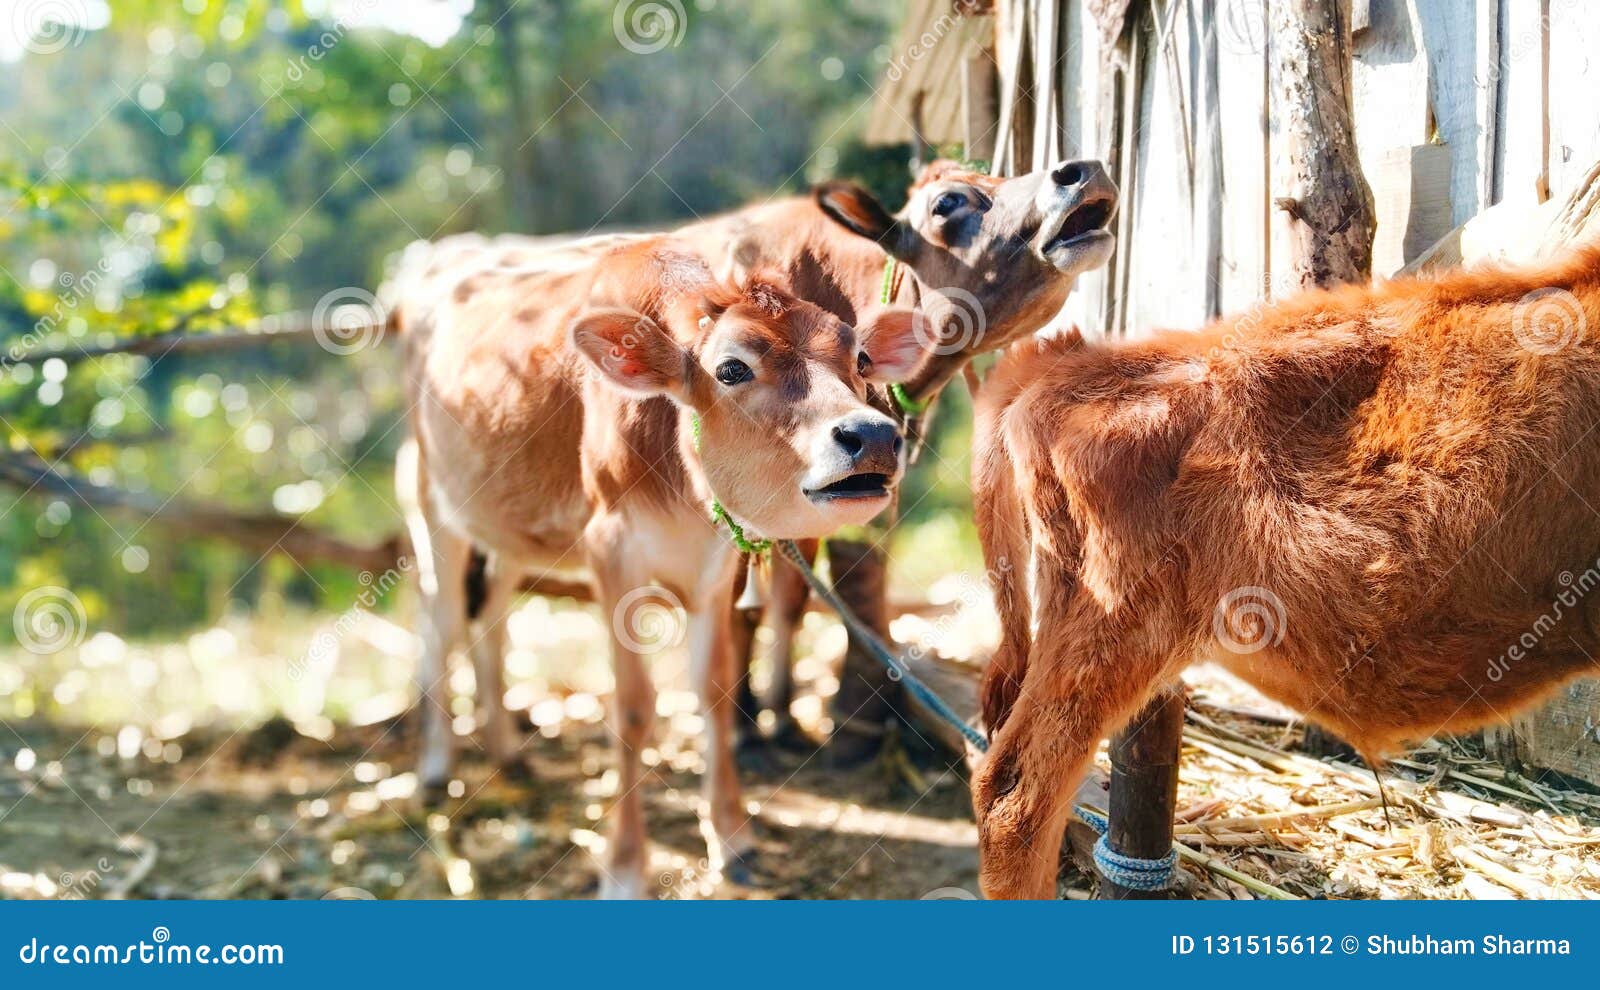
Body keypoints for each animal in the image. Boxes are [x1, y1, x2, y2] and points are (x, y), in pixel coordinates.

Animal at [392, 234, 927, 896]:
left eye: (859, 357)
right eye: (731, 368)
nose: (872, 435)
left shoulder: (714, 564)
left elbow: (715, 692)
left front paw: (733, 837)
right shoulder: (610, 548)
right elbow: (633, 707)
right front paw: (623, 867)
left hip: (512, 525)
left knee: (489, 613)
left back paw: (506, 752)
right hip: (427, 494)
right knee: (440, 618)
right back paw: (436, 768)